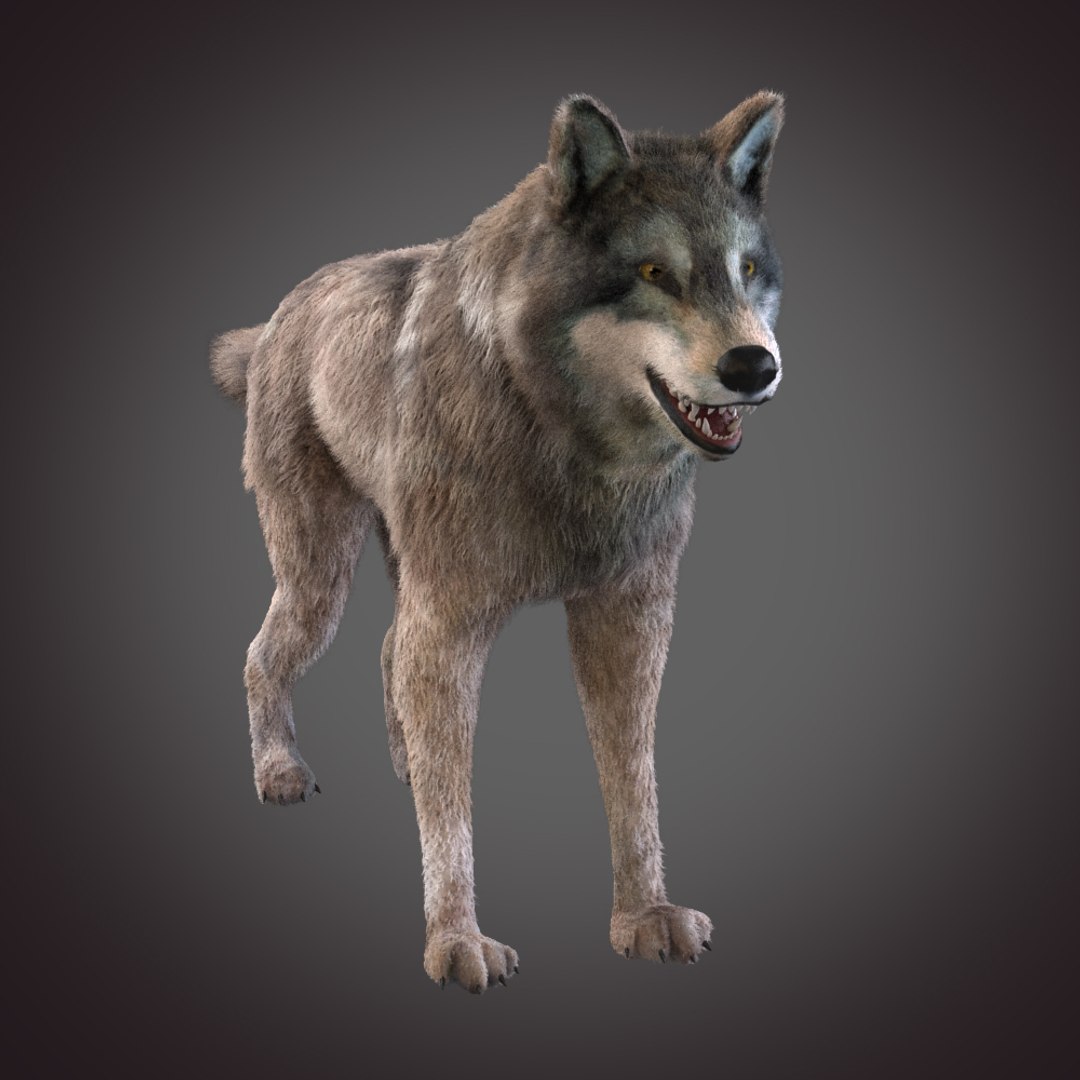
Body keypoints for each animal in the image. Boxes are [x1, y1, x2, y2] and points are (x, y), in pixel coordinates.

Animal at [211, 91, 785, 993]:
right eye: (654, 273)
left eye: (748, 271)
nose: (754, 367)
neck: (557, 434)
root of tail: (279, 313)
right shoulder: (453, 622)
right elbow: (454, 815)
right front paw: (457, 940)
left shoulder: (629, 617)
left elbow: (634, 782)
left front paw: (646, 914)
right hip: (319, 581)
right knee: (264, 654)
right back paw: (280, 771)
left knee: (386, 651)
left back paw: (405, 759)